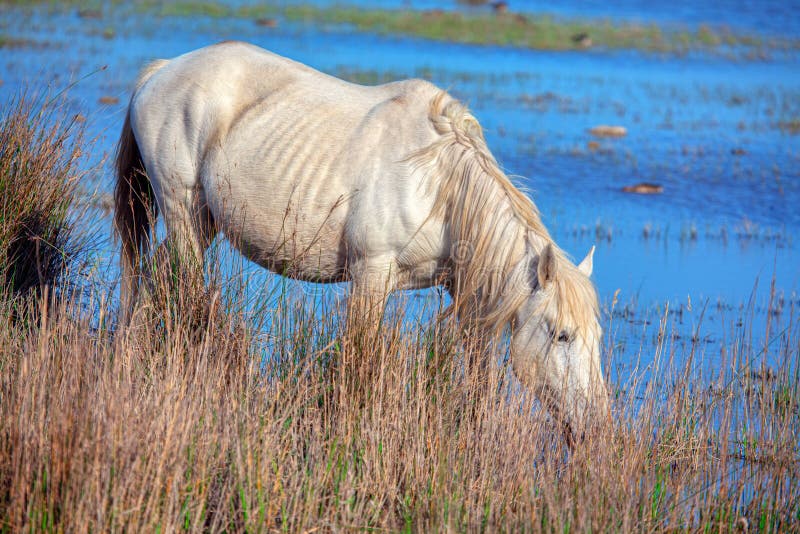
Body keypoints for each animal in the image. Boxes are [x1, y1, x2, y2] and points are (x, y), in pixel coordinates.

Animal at [114, 41, 609, 441]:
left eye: (596, 337)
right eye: (562, 335)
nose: (596, 427)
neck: (438, 184)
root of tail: (162, 71)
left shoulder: (468, 291)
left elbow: (476, 373)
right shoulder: (371, 275)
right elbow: (362, 360)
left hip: (201, 223)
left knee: (151, 283)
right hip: (183, 213)